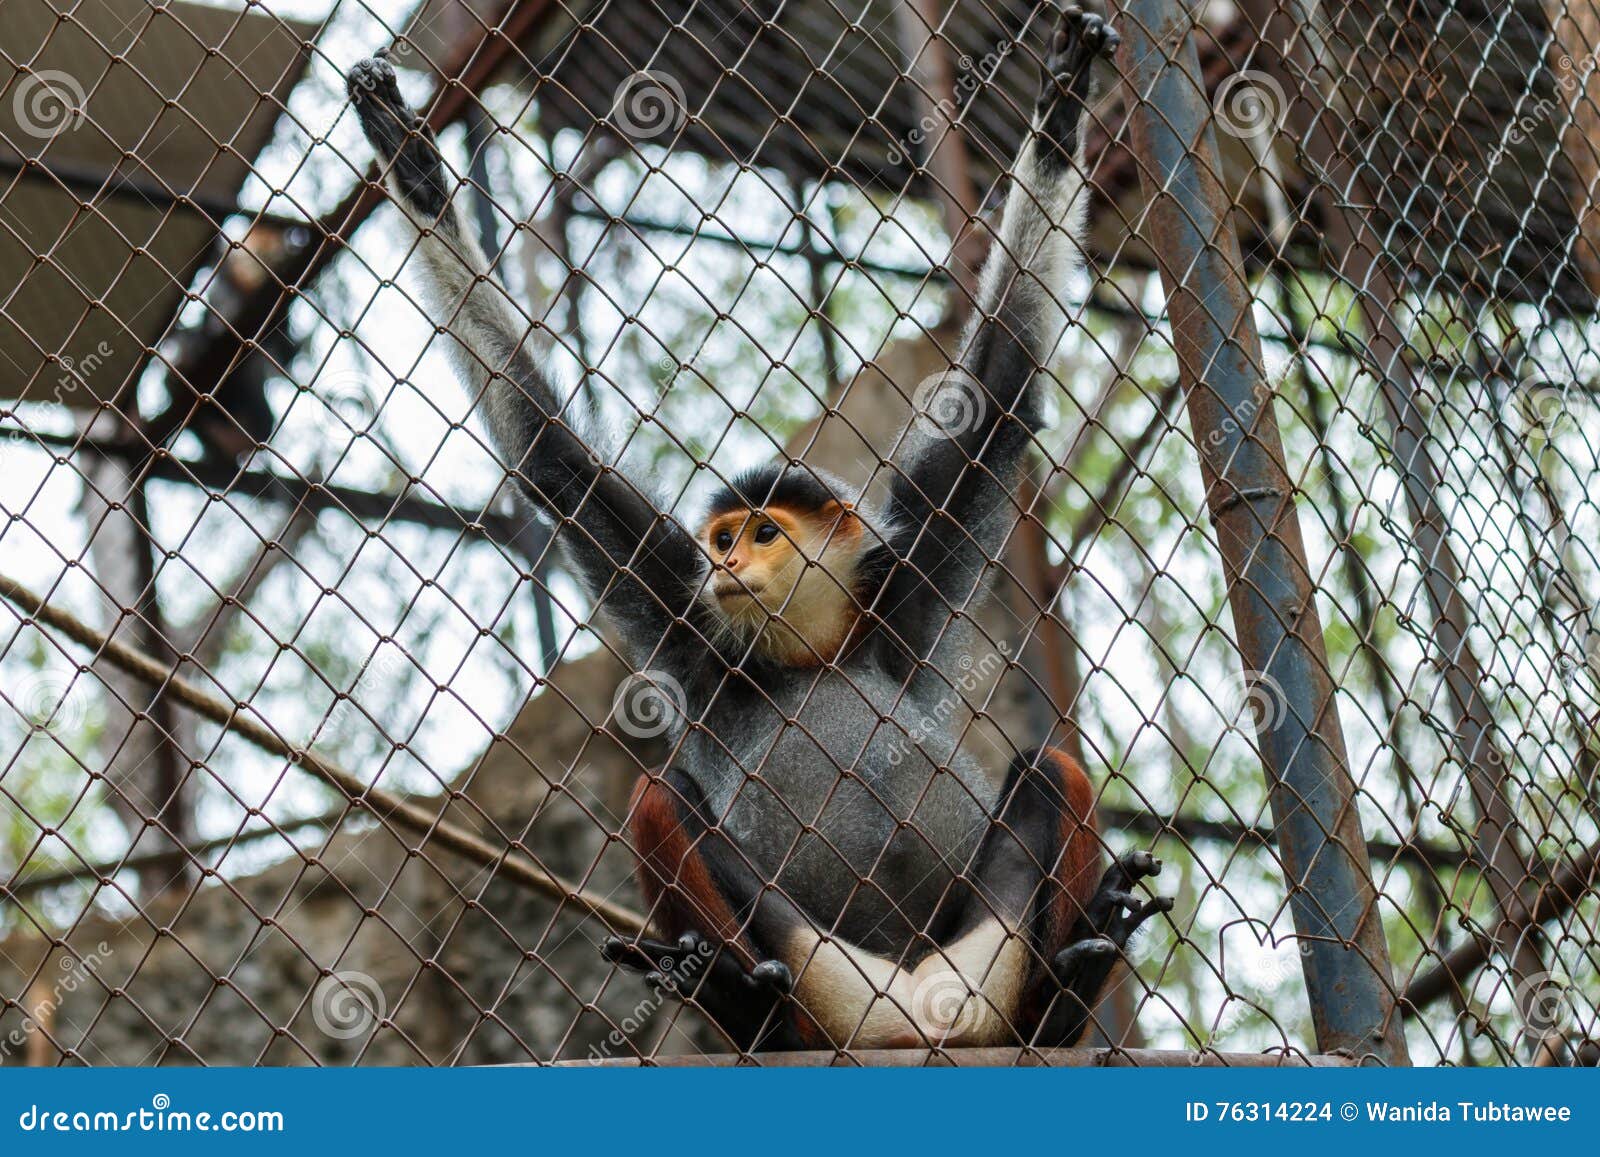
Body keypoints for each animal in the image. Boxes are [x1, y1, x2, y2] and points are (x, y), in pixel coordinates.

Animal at [347, 4, 1170, 1052]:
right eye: (721, 538)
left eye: (762, 534)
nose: (727, 562)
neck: (803, 651)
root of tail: (907, 1011)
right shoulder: (689, 620)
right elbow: (546, 451)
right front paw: (414, 168)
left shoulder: (898, 603)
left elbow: (1002, 387)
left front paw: (1061, 107)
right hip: (821, 965)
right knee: (660, 794)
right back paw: (747, 1001)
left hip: (984, 949)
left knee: (1049, 761)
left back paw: (1063, 990)